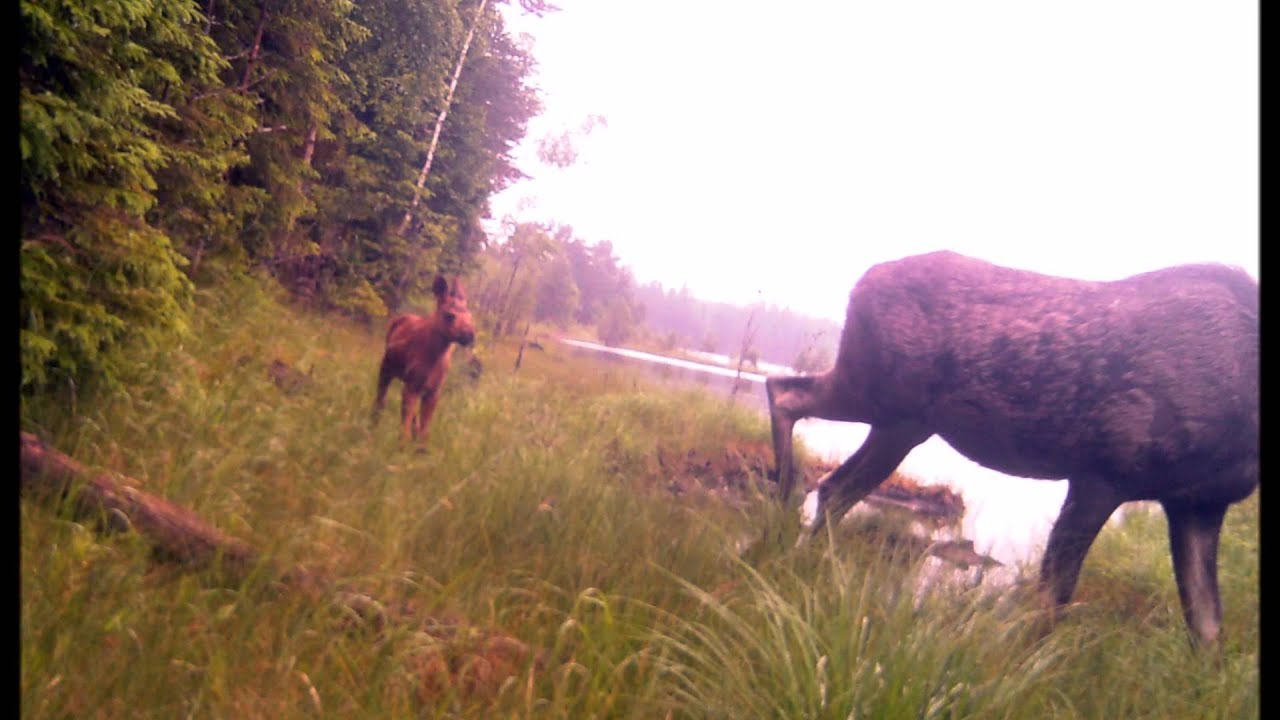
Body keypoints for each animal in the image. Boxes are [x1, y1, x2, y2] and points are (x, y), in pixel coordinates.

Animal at [373, 275, 477, 447]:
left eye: (470, 317)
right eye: (449, 315)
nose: (470, 335)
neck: (434, 358)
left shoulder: (433, 390)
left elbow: (425, 429)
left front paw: (420, 447)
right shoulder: (412, 385)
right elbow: (406, 423)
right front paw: (402, 445)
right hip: (387, 366)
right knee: (381, 397)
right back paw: (373, 422)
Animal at [766, 250, 1258, 646]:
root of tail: (861, 281)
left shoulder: (1198, 504)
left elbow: (1208, 628)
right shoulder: (1100, 474)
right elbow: (1053, 598)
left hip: (901, 424)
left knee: (837, 486)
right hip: (874, 390)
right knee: (784, 395)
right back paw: (784, 500)